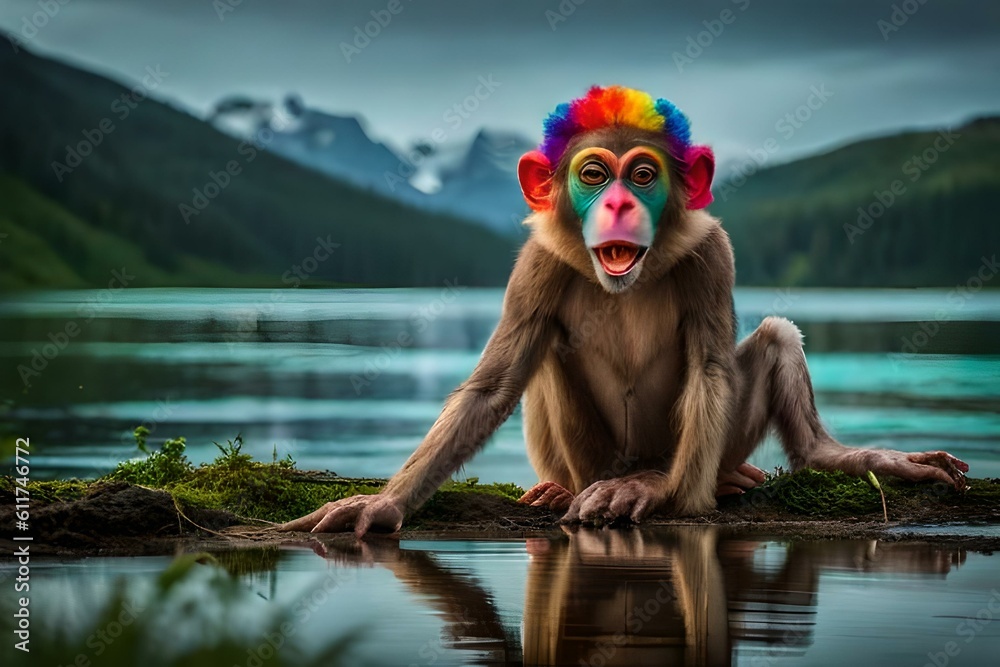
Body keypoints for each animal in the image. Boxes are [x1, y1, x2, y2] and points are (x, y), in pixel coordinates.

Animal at [281, 85, 968, 536]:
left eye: (641, 175)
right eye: (593, 174)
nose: (616, 204)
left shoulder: (711, 253)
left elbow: (712, 369)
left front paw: (662, 494)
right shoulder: (538, 264)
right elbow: (492, 386)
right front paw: (384, 504)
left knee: (775, 345)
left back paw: (767, 466)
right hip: (592, 457)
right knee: (547, 360)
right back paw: (568, 486)